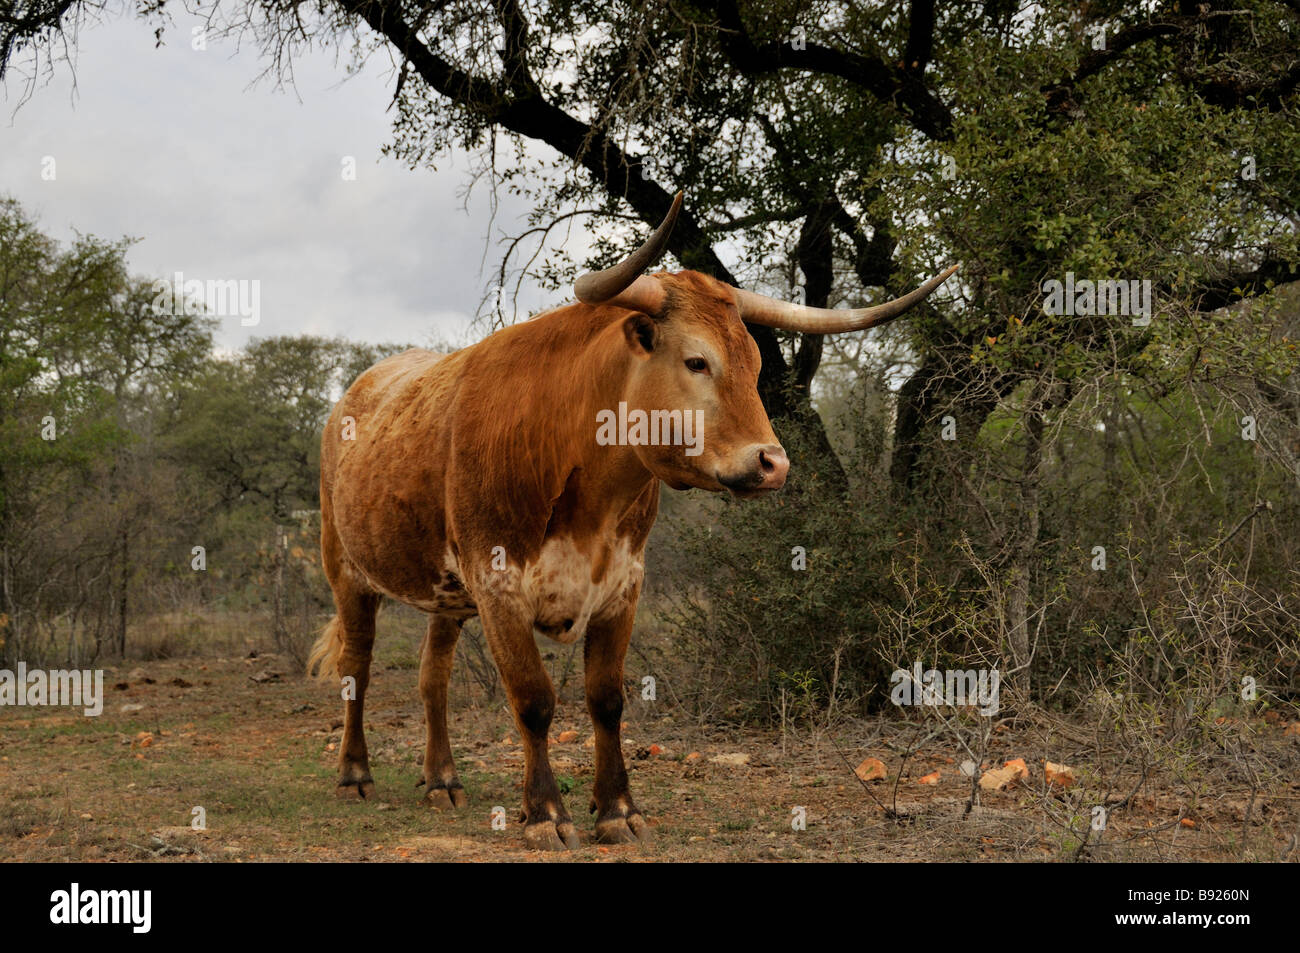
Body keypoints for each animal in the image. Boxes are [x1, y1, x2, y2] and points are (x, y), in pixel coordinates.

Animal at [309, 193, 957, 849]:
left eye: (754, 365)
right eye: (697, 360)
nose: (772, 464)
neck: (582, 479)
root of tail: (351, 399)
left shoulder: (623, 585)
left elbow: (606, 699)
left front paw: (617, 809)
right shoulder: (498, 585)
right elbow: (533, 699)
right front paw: (546, 814)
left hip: (446, 593)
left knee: (432, 673)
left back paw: (442, 779)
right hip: (346, 571)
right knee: (357, 667)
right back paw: (354, 775)